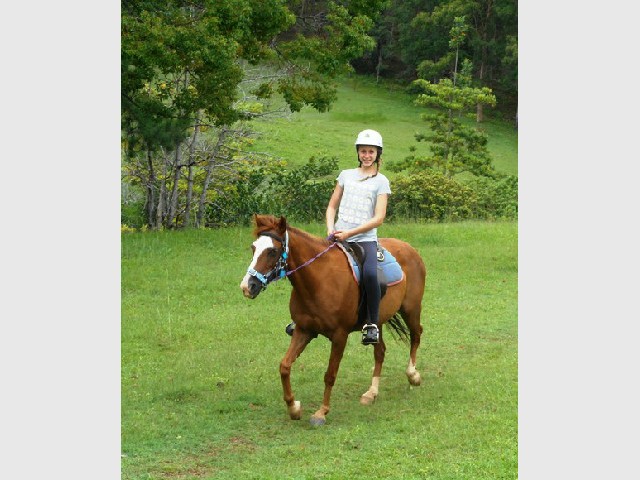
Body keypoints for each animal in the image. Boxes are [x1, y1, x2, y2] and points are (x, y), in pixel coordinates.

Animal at [240, 214, 427, 425]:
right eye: (253, 247)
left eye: (272, 251)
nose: (247, 286)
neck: (318, 281)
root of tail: (409, 248)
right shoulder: (303, 330)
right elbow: (284, 366)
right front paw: (294, 408)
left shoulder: (339, 336)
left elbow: (330, 374)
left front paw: (321, 413)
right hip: (376, 322)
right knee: (380, 352)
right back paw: (371, 393)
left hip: (411, 309)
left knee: (416, 335)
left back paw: (413, 375)